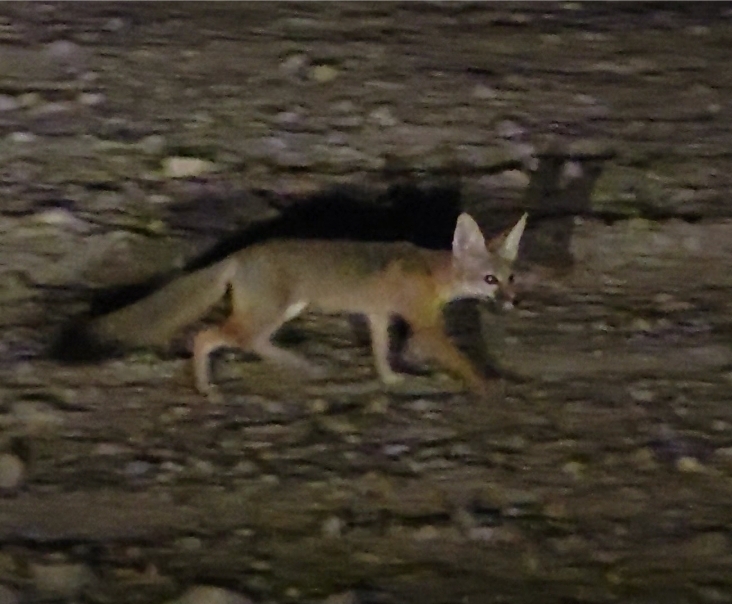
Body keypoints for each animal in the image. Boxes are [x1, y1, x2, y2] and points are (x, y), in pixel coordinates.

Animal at [60, 212, 528, 399]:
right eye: (489, 281)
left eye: (510, 278)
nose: (512, 302)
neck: (434, 273)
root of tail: (241, 253)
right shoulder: (425, 325)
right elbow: (460, 358)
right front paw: (487, 385)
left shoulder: (377, 314)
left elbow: (380, 351)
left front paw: (390, 378)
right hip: (265, 315)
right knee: (207, 336)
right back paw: (207, 387)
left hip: (284, 312)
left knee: (249, 343)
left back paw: (302, 366)